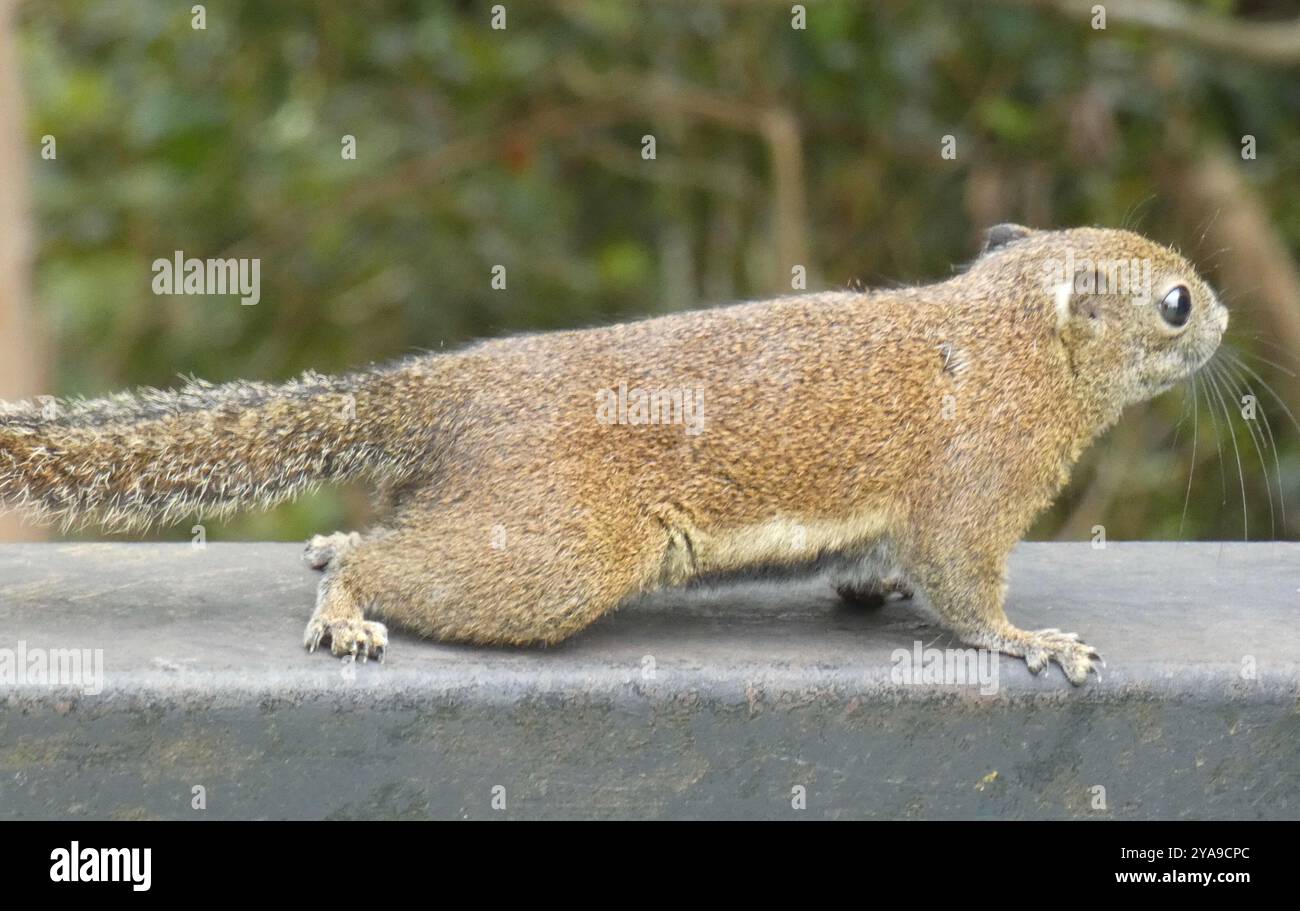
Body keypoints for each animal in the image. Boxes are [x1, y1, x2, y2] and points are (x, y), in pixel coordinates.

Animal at [0, 225, 1226, 684]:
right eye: (1172, 303)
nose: (1220, 319)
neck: (1006, 339)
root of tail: (439, 392)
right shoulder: (976, 483)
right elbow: (965, 587)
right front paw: (1035, 641)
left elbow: (887, 562)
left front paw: (869, 588)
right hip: (558, 552)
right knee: (398, 563)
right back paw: (346, 607)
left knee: (385, 528)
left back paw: (332, 544)